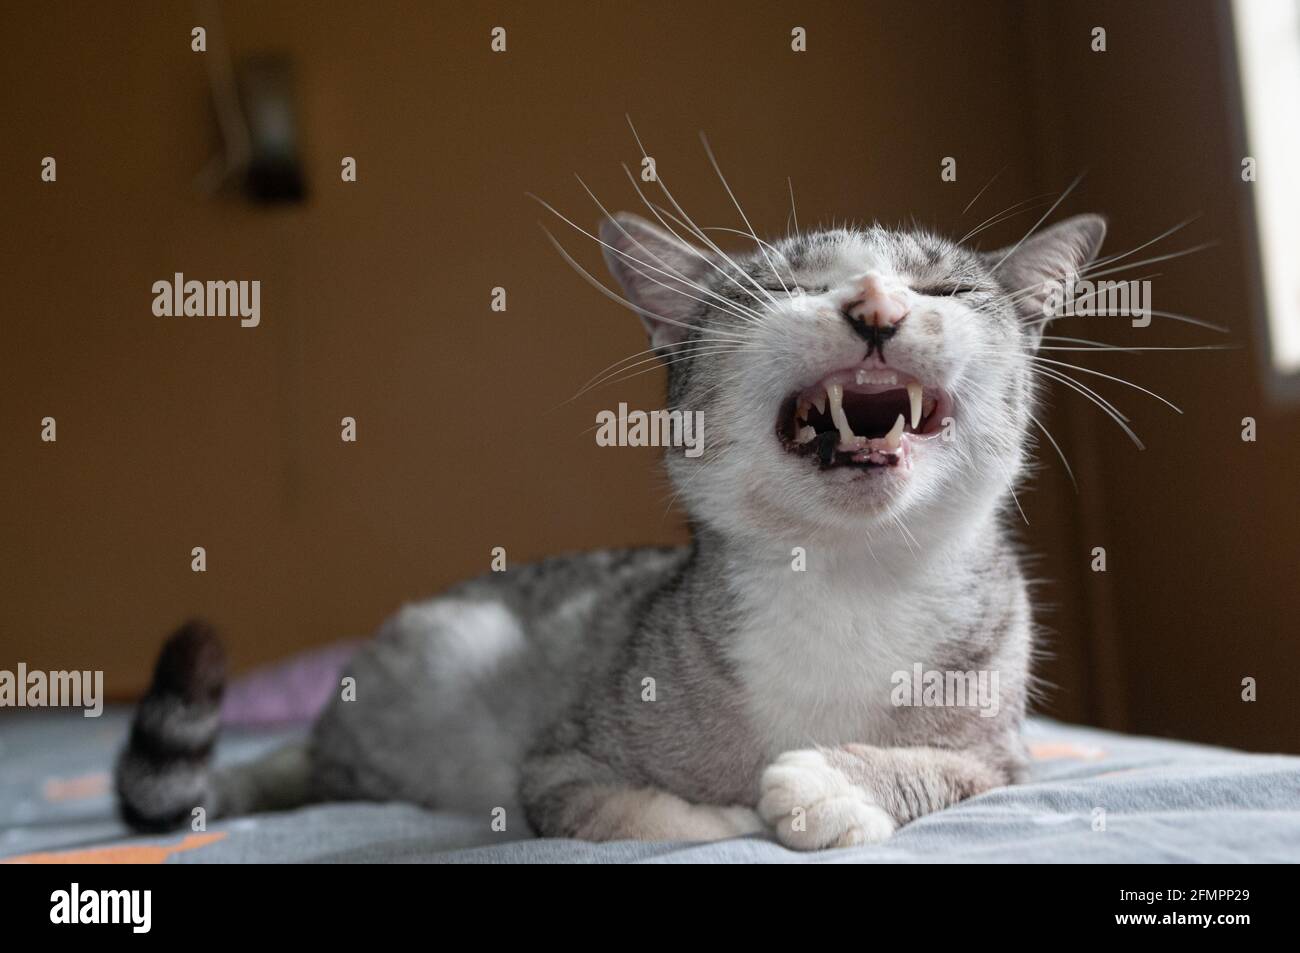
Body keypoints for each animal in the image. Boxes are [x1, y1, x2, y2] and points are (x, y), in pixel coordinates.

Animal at [116, 208, 1102, 847]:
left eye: (947, 288)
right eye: (786, 286)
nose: (875, 305)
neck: (846, 583)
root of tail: (323, 731)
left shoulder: (1009, 758)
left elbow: (942, 771)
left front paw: (830, 780)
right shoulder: (557, 765)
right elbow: (624, 812)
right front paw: (729, 814)